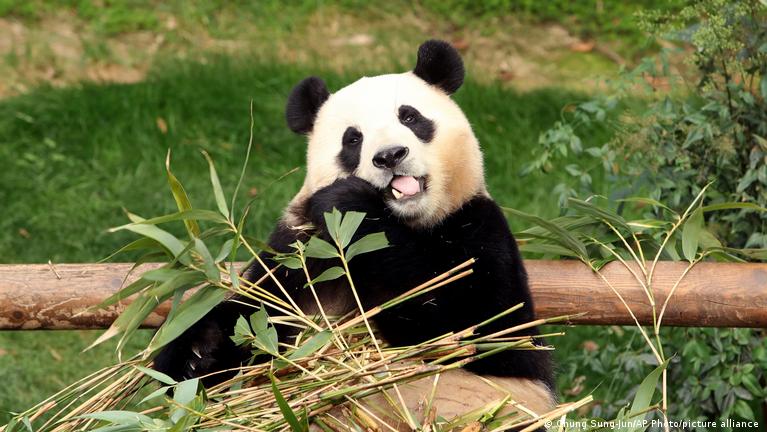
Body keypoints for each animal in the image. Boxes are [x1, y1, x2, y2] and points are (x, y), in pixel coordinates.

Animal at [154, 40, 555, 428]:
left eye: (410, 117)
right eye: (352, 139)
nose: (390, 156)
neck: (408, 221)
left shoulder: (479, 227)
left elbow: (480, 331)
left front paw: (350, 203)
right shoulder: (298, 252)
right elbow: (256, 315)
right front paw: (194, 357)